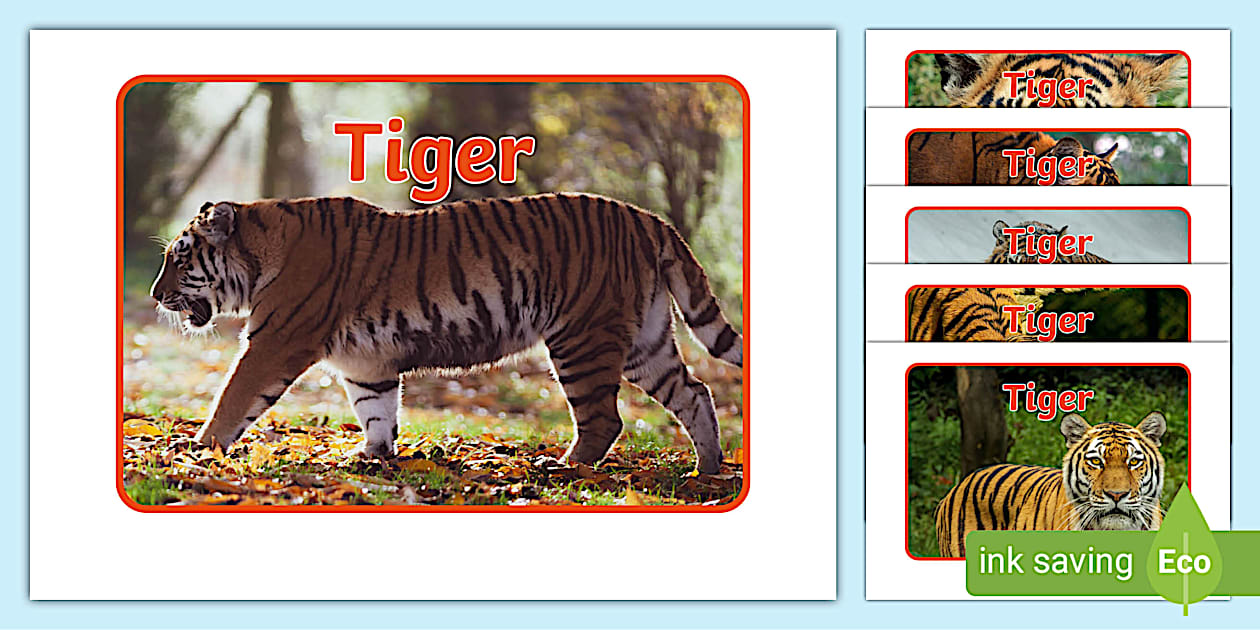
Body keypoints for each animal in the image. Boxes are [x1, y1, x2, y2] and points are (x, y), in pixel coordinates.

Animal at [148, 193, 744, 474]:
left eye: (179, 259)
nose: (154, 295)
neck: (259, 254)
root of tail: (648, 218)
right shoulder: (366, 364)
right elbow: (377, 410)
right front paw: (371, 456)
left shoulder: (274, 342)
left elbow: (233, 397)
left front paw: (197, 451)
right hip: (644, 341)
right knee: (694, 392)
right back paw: (707, 471)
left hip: (583, 338)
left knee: (605, 419)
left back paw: (563, 469)